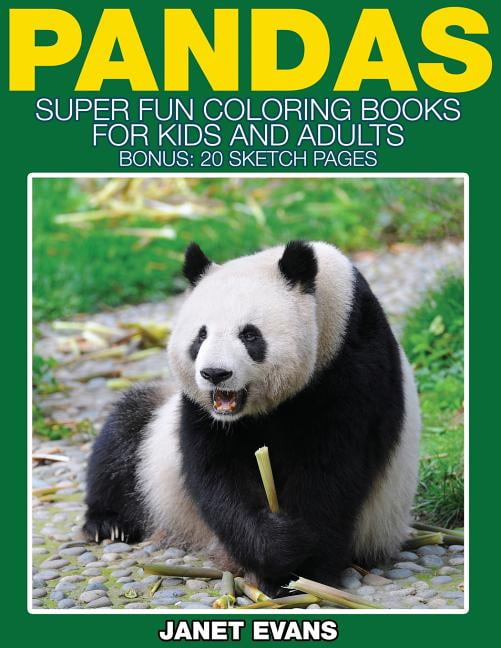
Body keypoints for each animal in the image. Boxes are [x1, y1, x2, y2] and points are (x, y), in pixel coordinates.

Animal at [84, 240, 420, 595]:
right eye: (201, 336)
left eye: (249, 335)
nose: (215, 373)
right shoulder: (202, 414)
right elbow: (218, 474)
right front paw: (278, 550)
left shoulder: (352, 366)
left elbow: (331, 471)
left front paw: (304, 571)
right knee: (125, 432)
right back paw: (108, 524)